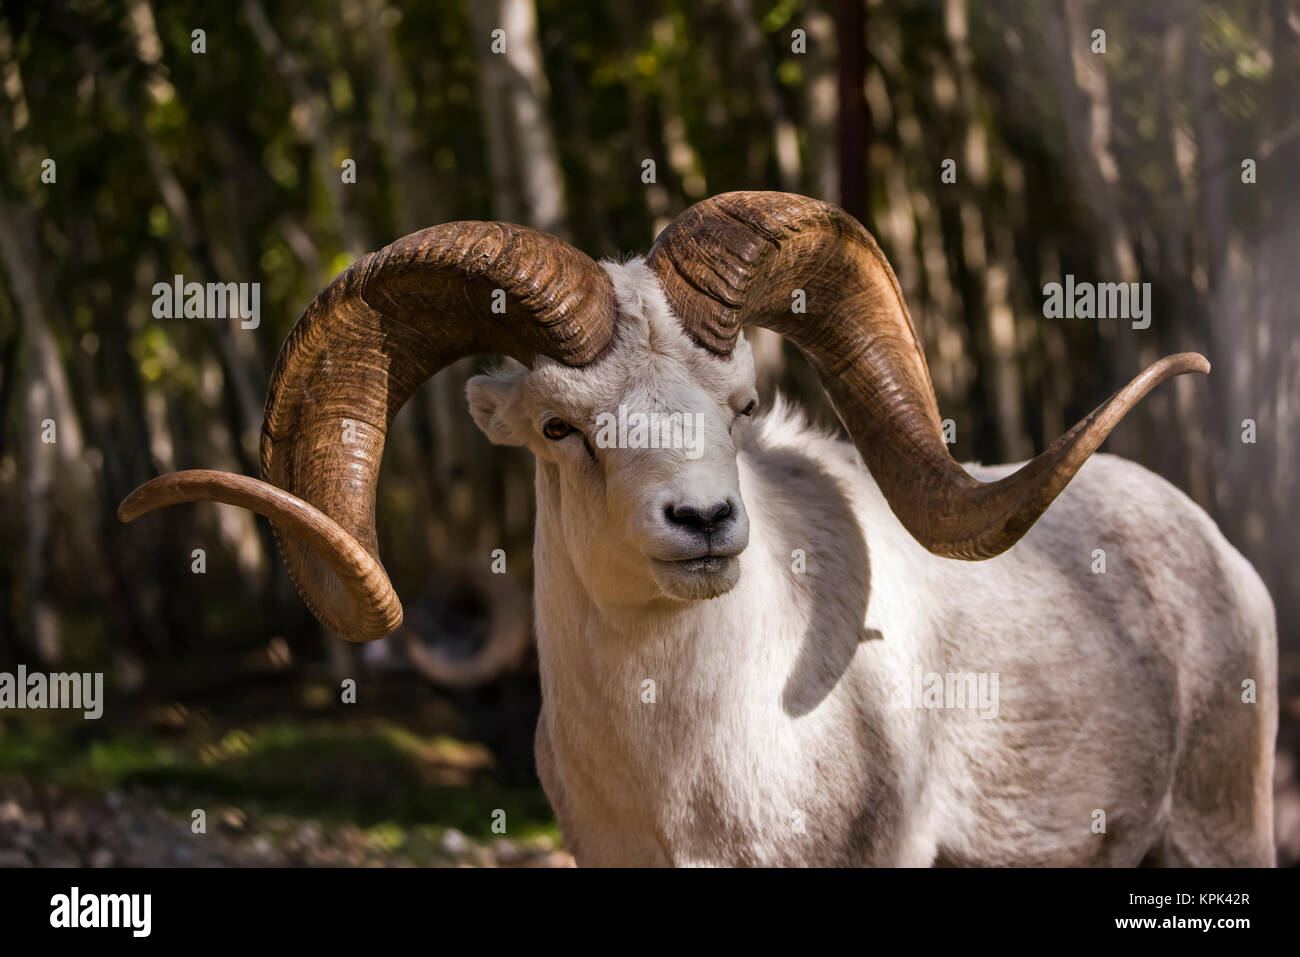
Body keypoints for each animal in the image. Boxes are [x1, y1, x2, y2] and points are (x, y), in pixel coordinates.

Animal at [120, 191, 1277, 866]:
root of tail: (1220, 558)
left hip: (1219, 833)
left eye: (739, 404)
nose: (705, 521)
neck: (699, 770)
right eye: (560, 427)